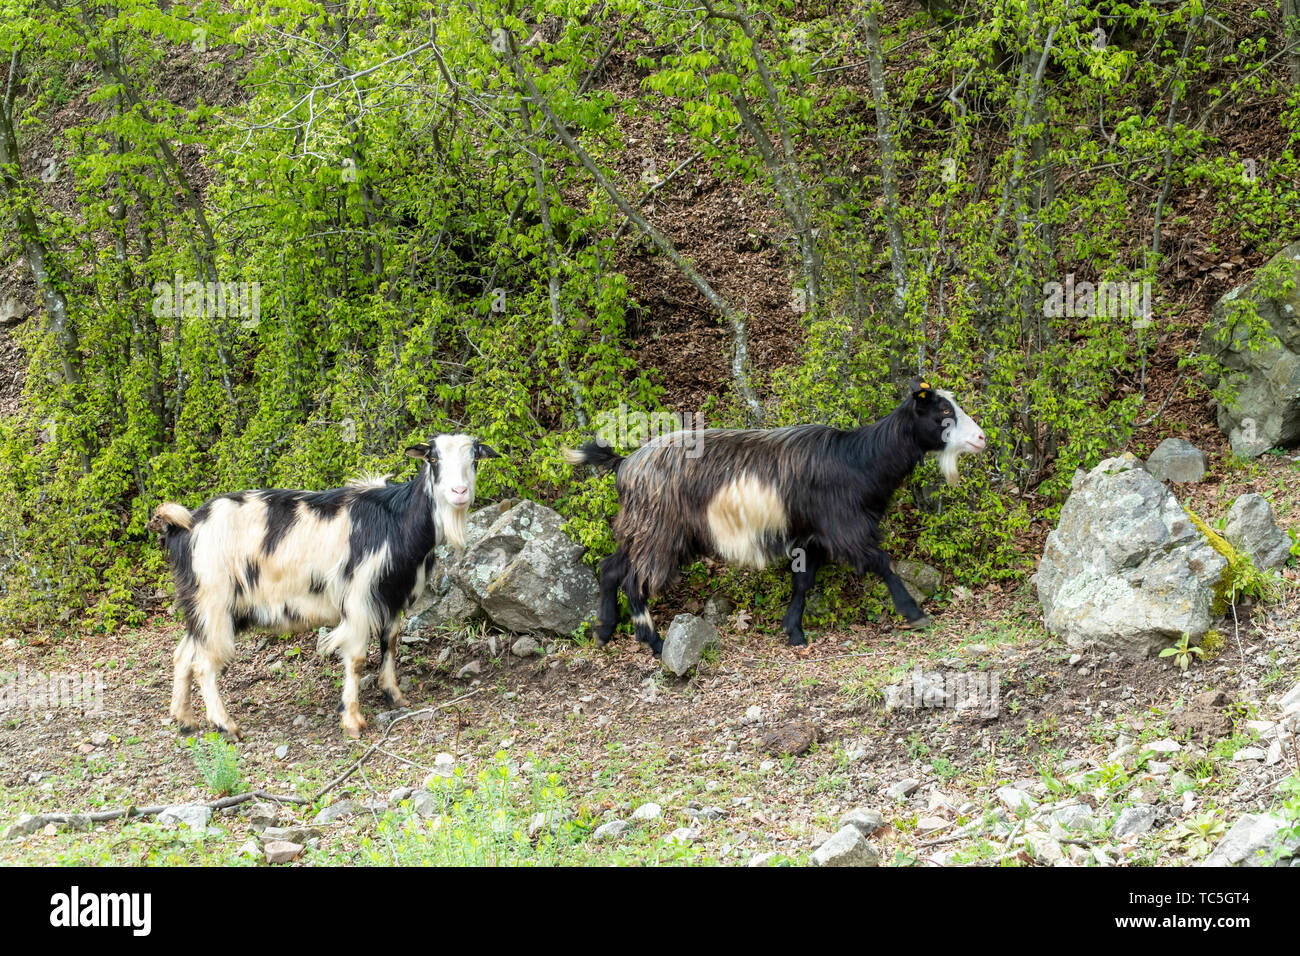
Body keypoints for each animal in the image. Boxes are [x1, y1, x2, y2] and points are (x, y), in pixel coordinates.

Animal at [147, 434, 499, 738]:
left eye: (474, 458)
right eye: (433, 458)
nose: (459, 492)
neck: (395, 520)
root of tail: (185, 527)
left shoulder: (392, 596)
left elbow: (390, 644)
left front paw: (394, 694)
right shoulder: (358, 598)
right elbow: (356, 659)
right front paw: (353, 719)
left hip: (202, 607)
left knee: (183, 654)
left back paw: (184, 719)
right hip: (214, 602)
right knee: (204, 663)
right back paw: (225, 725)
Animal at [565, 380, 985, 655]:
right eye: (943, 412)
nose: (981, 439)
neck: (858, 461)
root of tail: (625, 463)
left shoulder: (811, 537)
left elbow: (803, 582)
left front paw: (794, 631)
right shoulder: (844, 527)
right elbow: (881, 563)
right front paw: (914, 613)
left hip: (643, 529)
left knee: (611, 568)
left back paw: (604, 631)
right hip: (659, 531)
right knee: (634, 579)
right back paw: (652, 641)